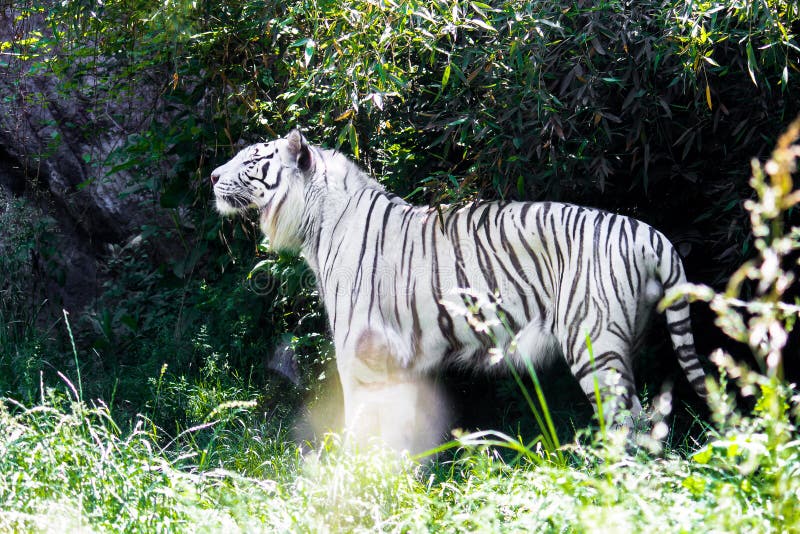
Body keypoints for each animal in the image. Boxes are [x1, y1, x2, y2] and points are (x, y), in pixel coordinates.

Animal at [211, 129, 708, 452]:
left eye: (252, 160)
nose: (213, 176)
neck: (315, 220)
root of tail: (651, 234)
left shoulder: (358, 348)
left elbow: (360, 417)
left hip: (595, 345)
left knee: (630, 420)